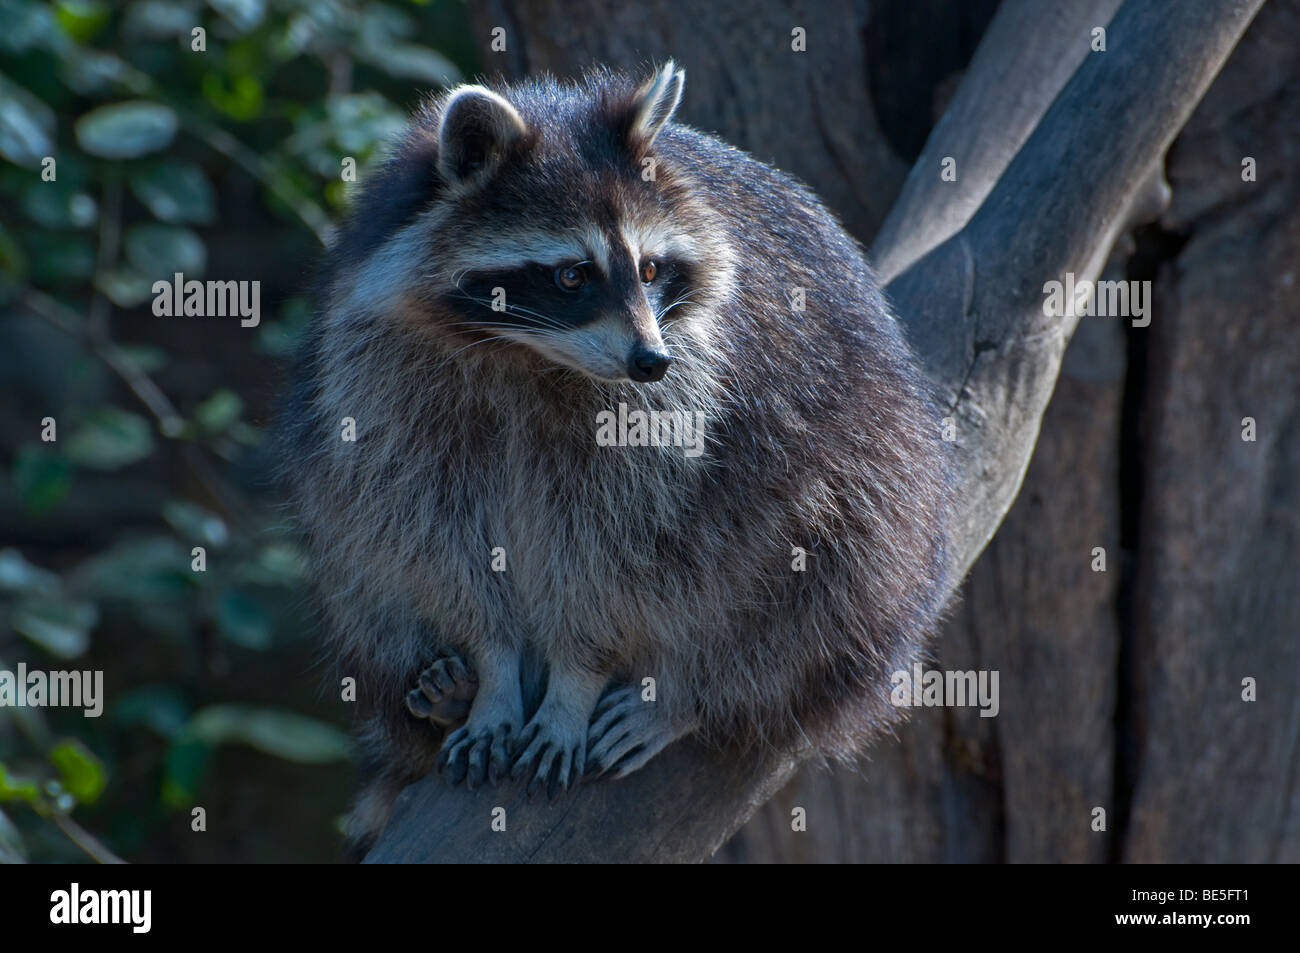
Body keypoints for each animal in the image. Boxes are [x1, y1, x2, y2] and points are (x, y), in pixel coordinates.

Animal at [281, 62, 954, 854]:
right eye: (572, 275)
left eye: (653, 267)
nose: (650, 362)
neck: (527, 353)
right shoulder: (388, 371)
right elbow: (436, 531)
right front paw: (494, 671)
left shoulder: (680, 401)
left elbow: (618, 551)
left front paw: (575, 680)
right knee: (356, 548)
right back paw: (442, 695)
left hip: (878, 484)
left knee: (833, 568)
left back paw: (696, 694)